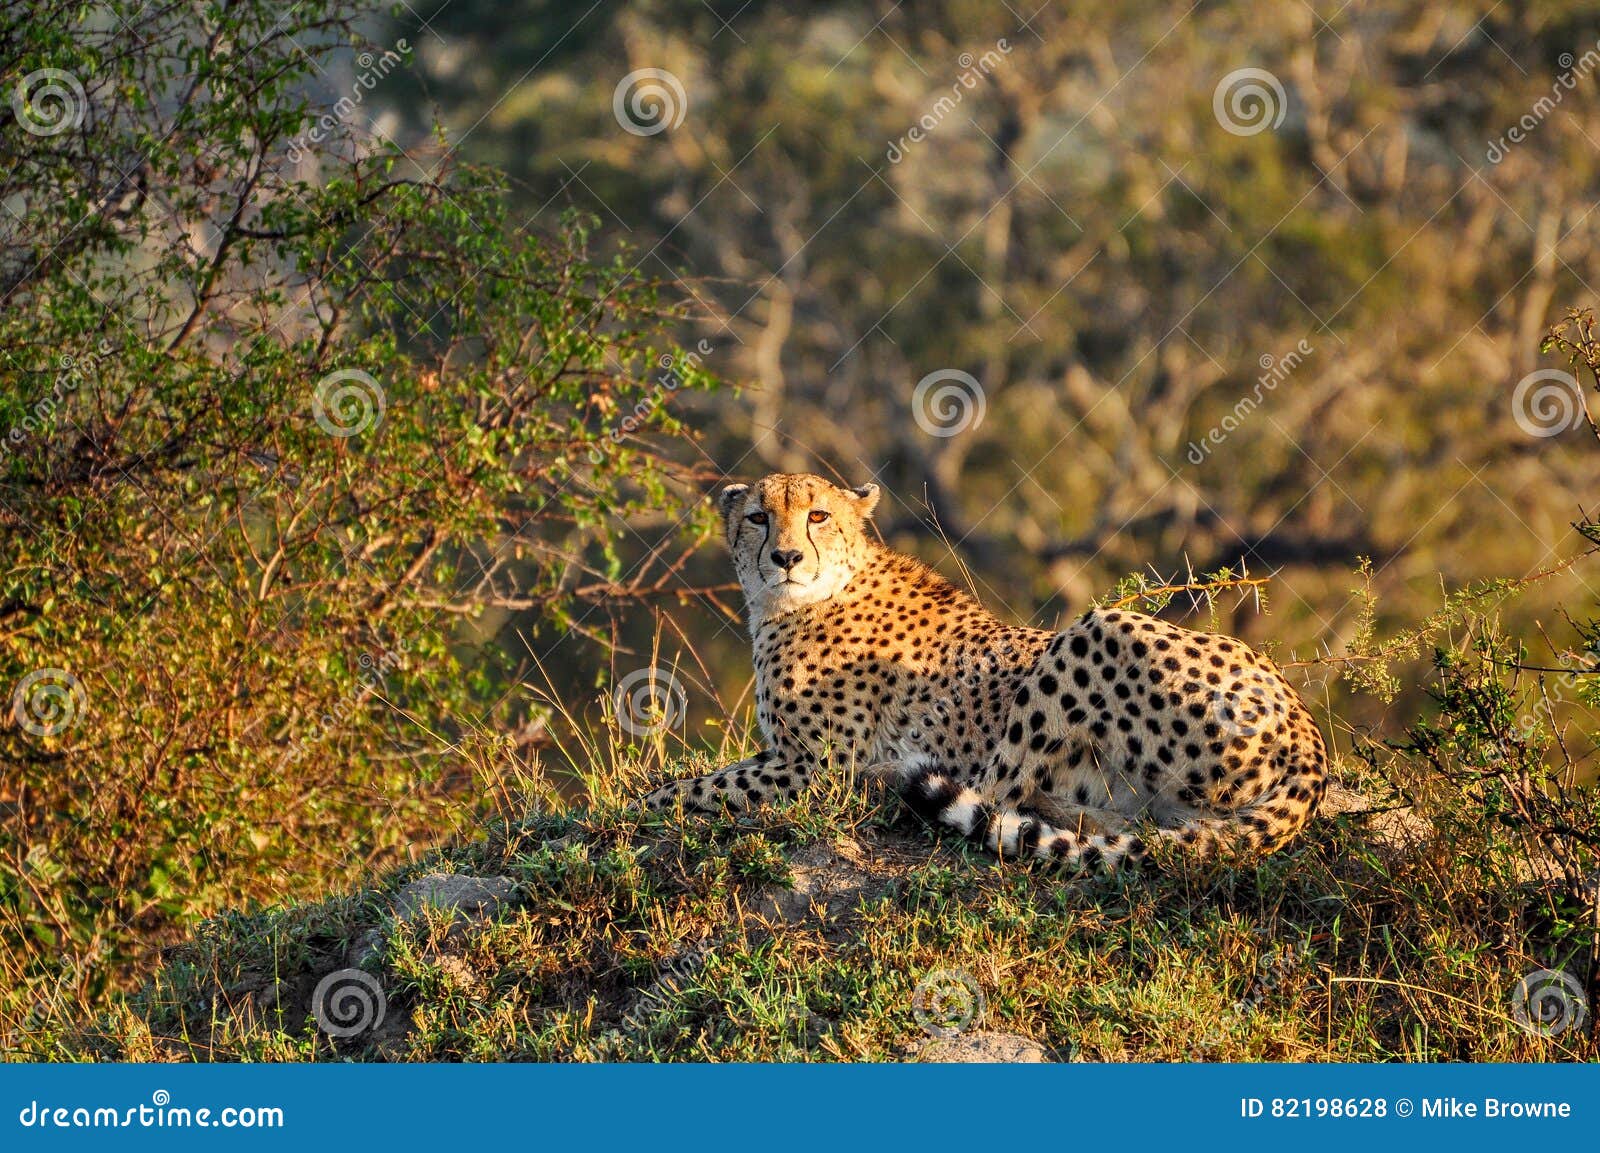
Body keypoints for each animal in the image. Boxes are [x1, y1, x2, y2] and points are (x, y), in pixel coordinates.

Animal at [643, 472, 1327, 868]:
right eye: (759, 517)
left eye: (818, 516)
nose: (785, 557)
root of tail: (1306, 727)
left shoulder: (814, 765)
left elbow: (685, 790)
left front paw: (644, 802)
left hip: (1096, 630)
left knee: (996, 792)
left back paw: (897, 782)